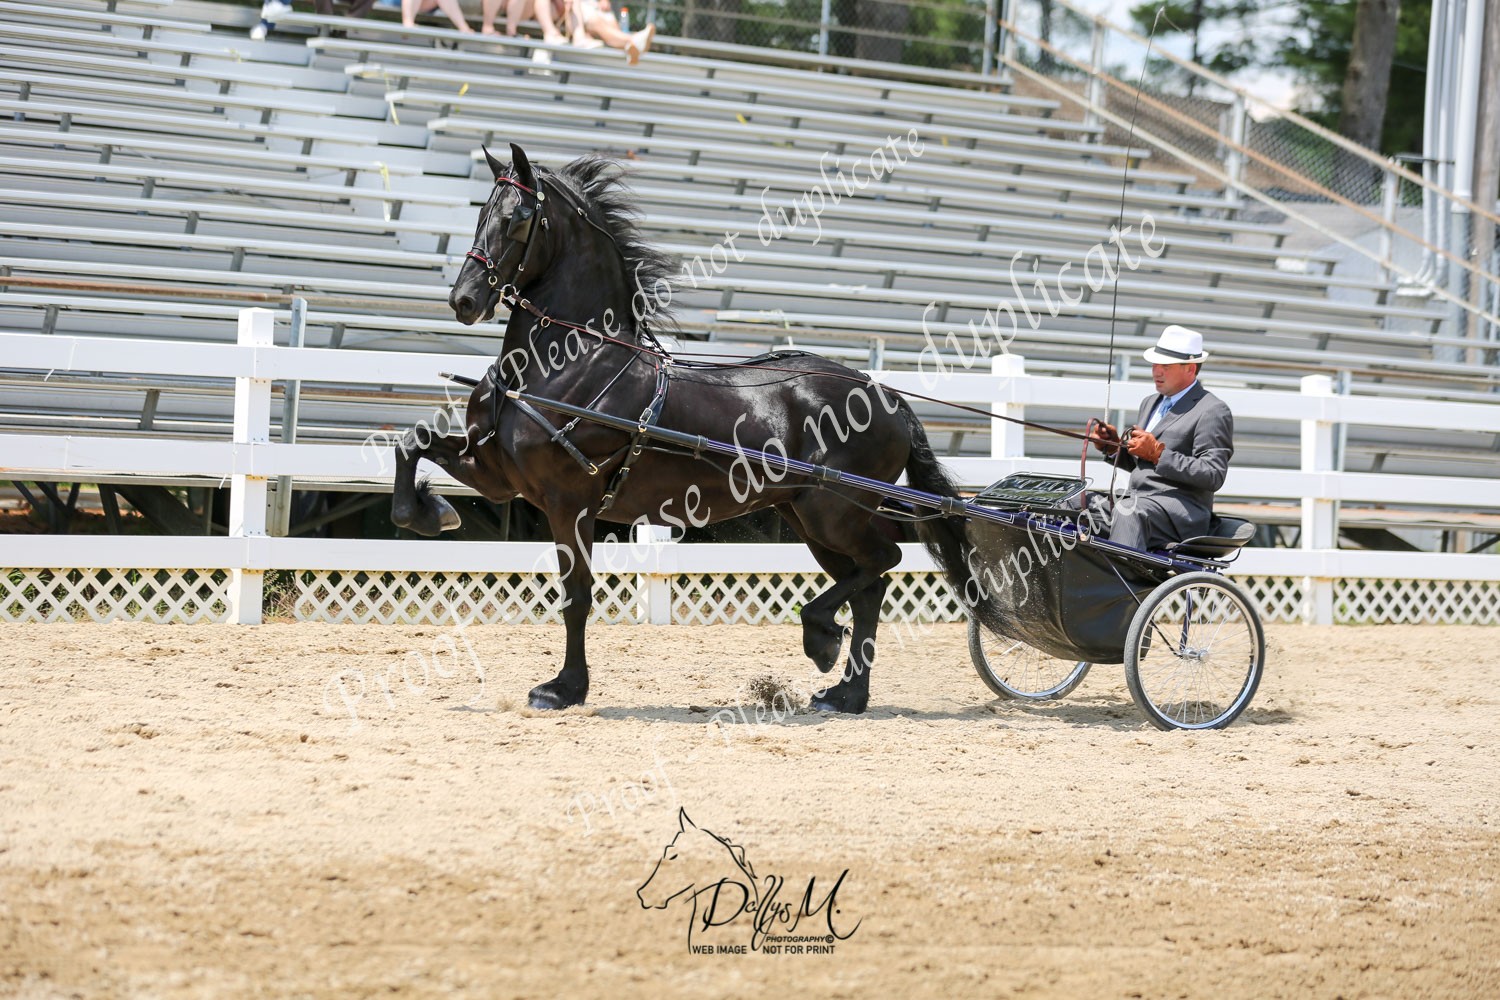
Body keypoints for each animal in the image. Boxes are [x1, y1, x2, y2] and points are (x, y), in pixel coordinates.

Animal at [390, 143, 992, 713]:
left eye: (516, 218)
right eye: (480, 213)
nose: (464, 300)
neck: (573, 363)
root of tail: (884, 394)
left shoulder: (569, 499)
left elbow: (577, 595)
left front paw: (564, 689)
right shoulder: (499, 475)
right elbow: (412, 443)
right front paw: (430, 512)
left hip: (834, 512)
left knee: (882, 564)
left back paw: (822, 640)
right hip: (808, 518)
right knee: (870, 582)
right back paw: (845, 692)